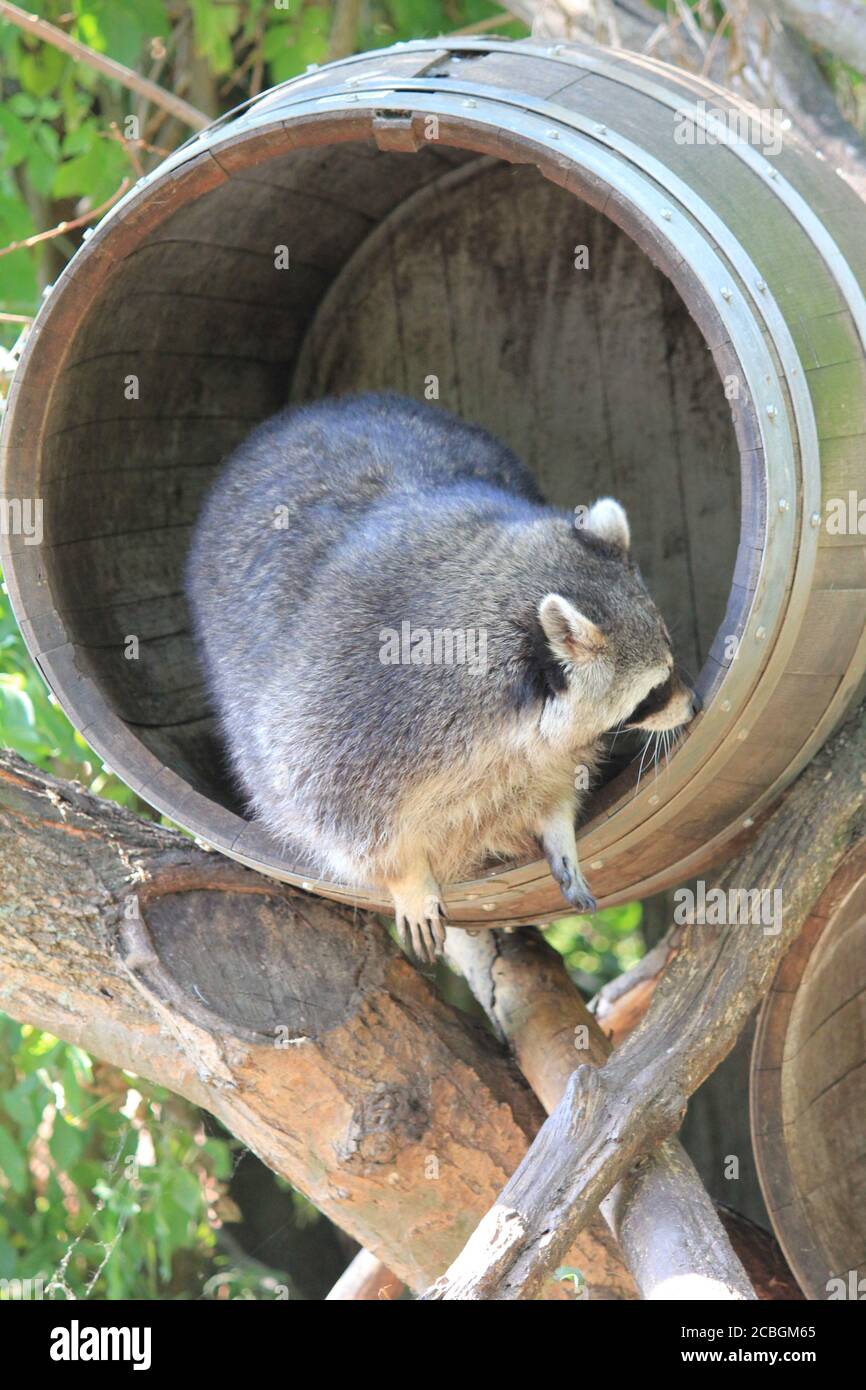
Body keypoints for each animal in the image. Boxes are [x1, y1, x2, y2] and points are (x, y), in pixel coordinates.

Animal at [186, 392, 697, 962]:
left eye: (669, 662)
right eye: (654, 691)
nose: (695, 704)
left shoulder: (541, 747)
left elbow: (550, 781)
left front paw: (556, 824)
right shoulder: (348, 719)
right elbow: (339, 820)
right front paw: (406, 880)